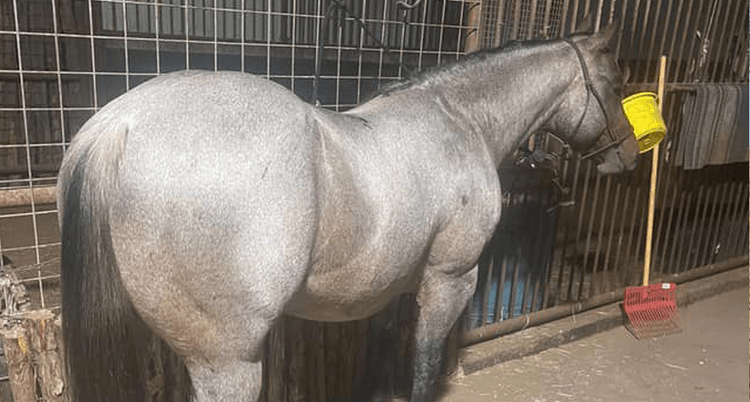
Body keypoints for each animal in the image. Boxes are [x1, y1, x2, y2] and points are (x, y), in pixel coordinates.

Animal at [57, 20, 638, 402]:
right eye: (616, 84)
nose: (630, 156)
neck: (458, 121)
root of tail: (118, 124)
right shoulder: (450, 279)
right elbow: (424, 363)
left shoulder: (390, 286)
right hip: (228, 362)